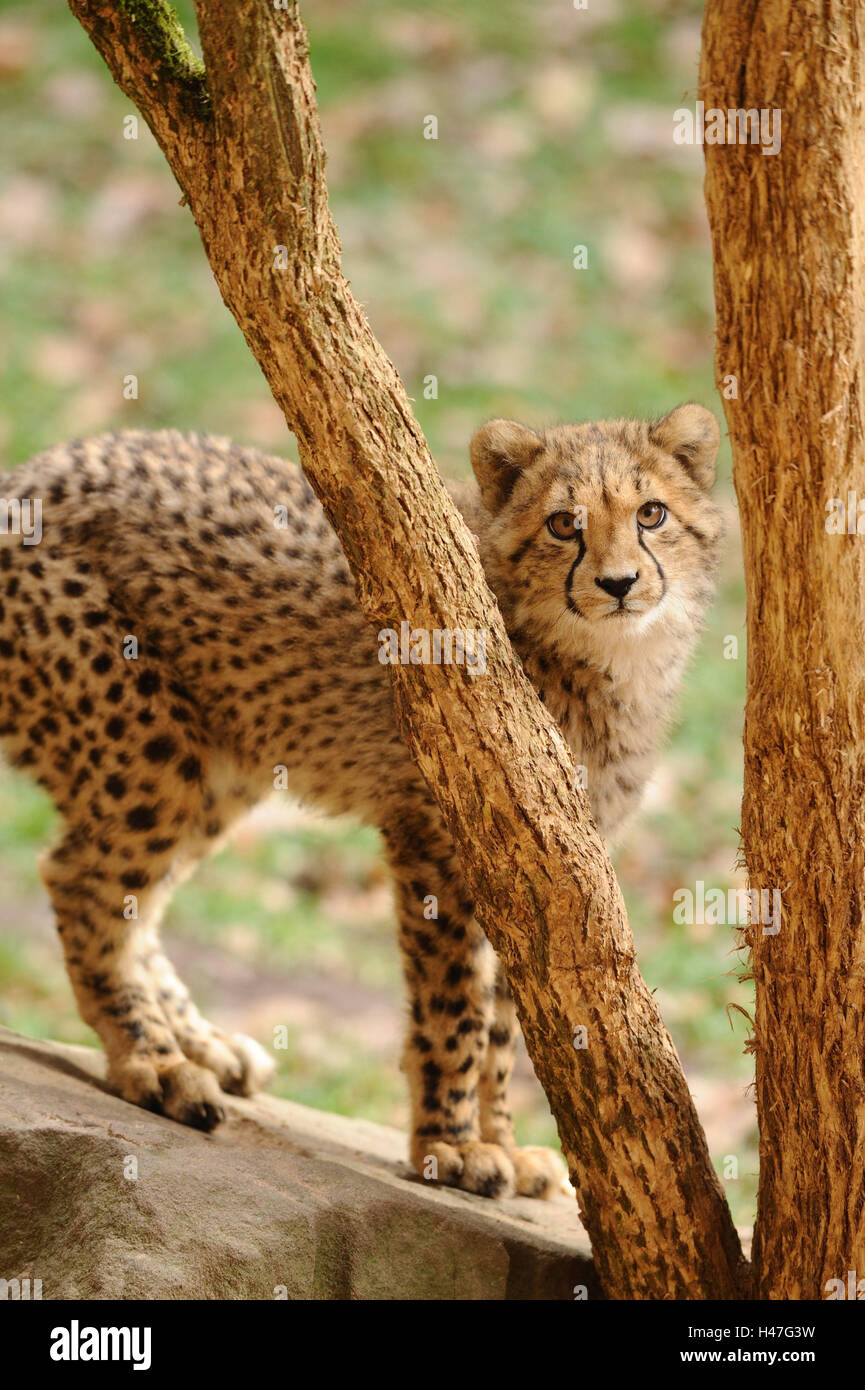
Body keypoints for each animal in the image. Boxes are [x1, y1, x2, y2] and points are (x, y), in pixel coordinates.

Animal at [0, 402, 723, 1199]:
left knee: (138, 899)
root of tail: (33, 470)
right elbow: (456, 1010)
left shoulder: (542, 874)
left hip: (219, 764)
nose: (620, 582)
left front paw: (505, 1145)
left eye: (652, 514)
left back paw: (200, 1043)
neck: (607, 659)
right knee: (81, 880)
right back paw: (155, 1063)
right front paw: (451, 1148)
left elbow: (509, 1026)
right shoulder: (437, 847)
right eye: (564, 524)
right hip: (151, 755)